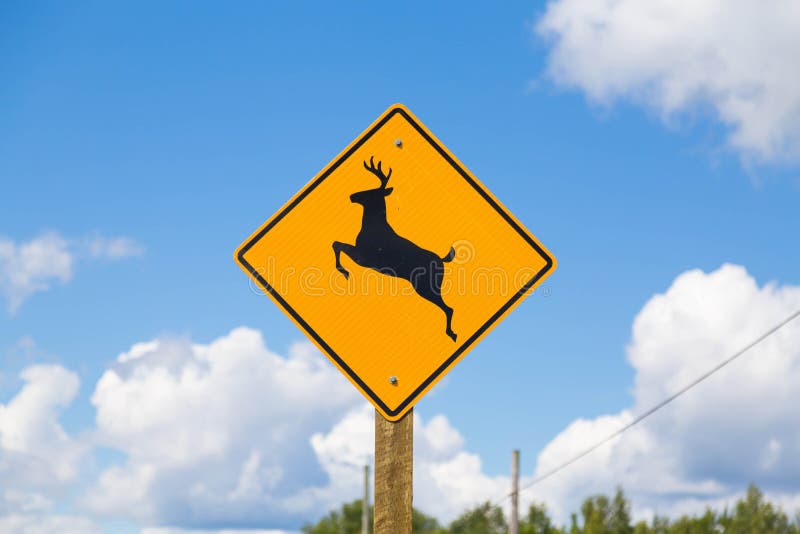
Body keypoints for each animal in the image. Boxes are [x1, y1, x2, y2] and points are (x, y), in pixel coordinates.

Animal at [333, 156, 458, 342]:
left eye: (371, 192)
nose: (352, 196)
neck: (372, 225)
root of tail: (442, 261)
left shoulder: (364, 257)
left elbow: (336, 244)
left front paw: (345, 272)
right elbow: (336, 244)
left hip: (426, 285)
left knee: (449, 308)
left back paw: (452, 334)